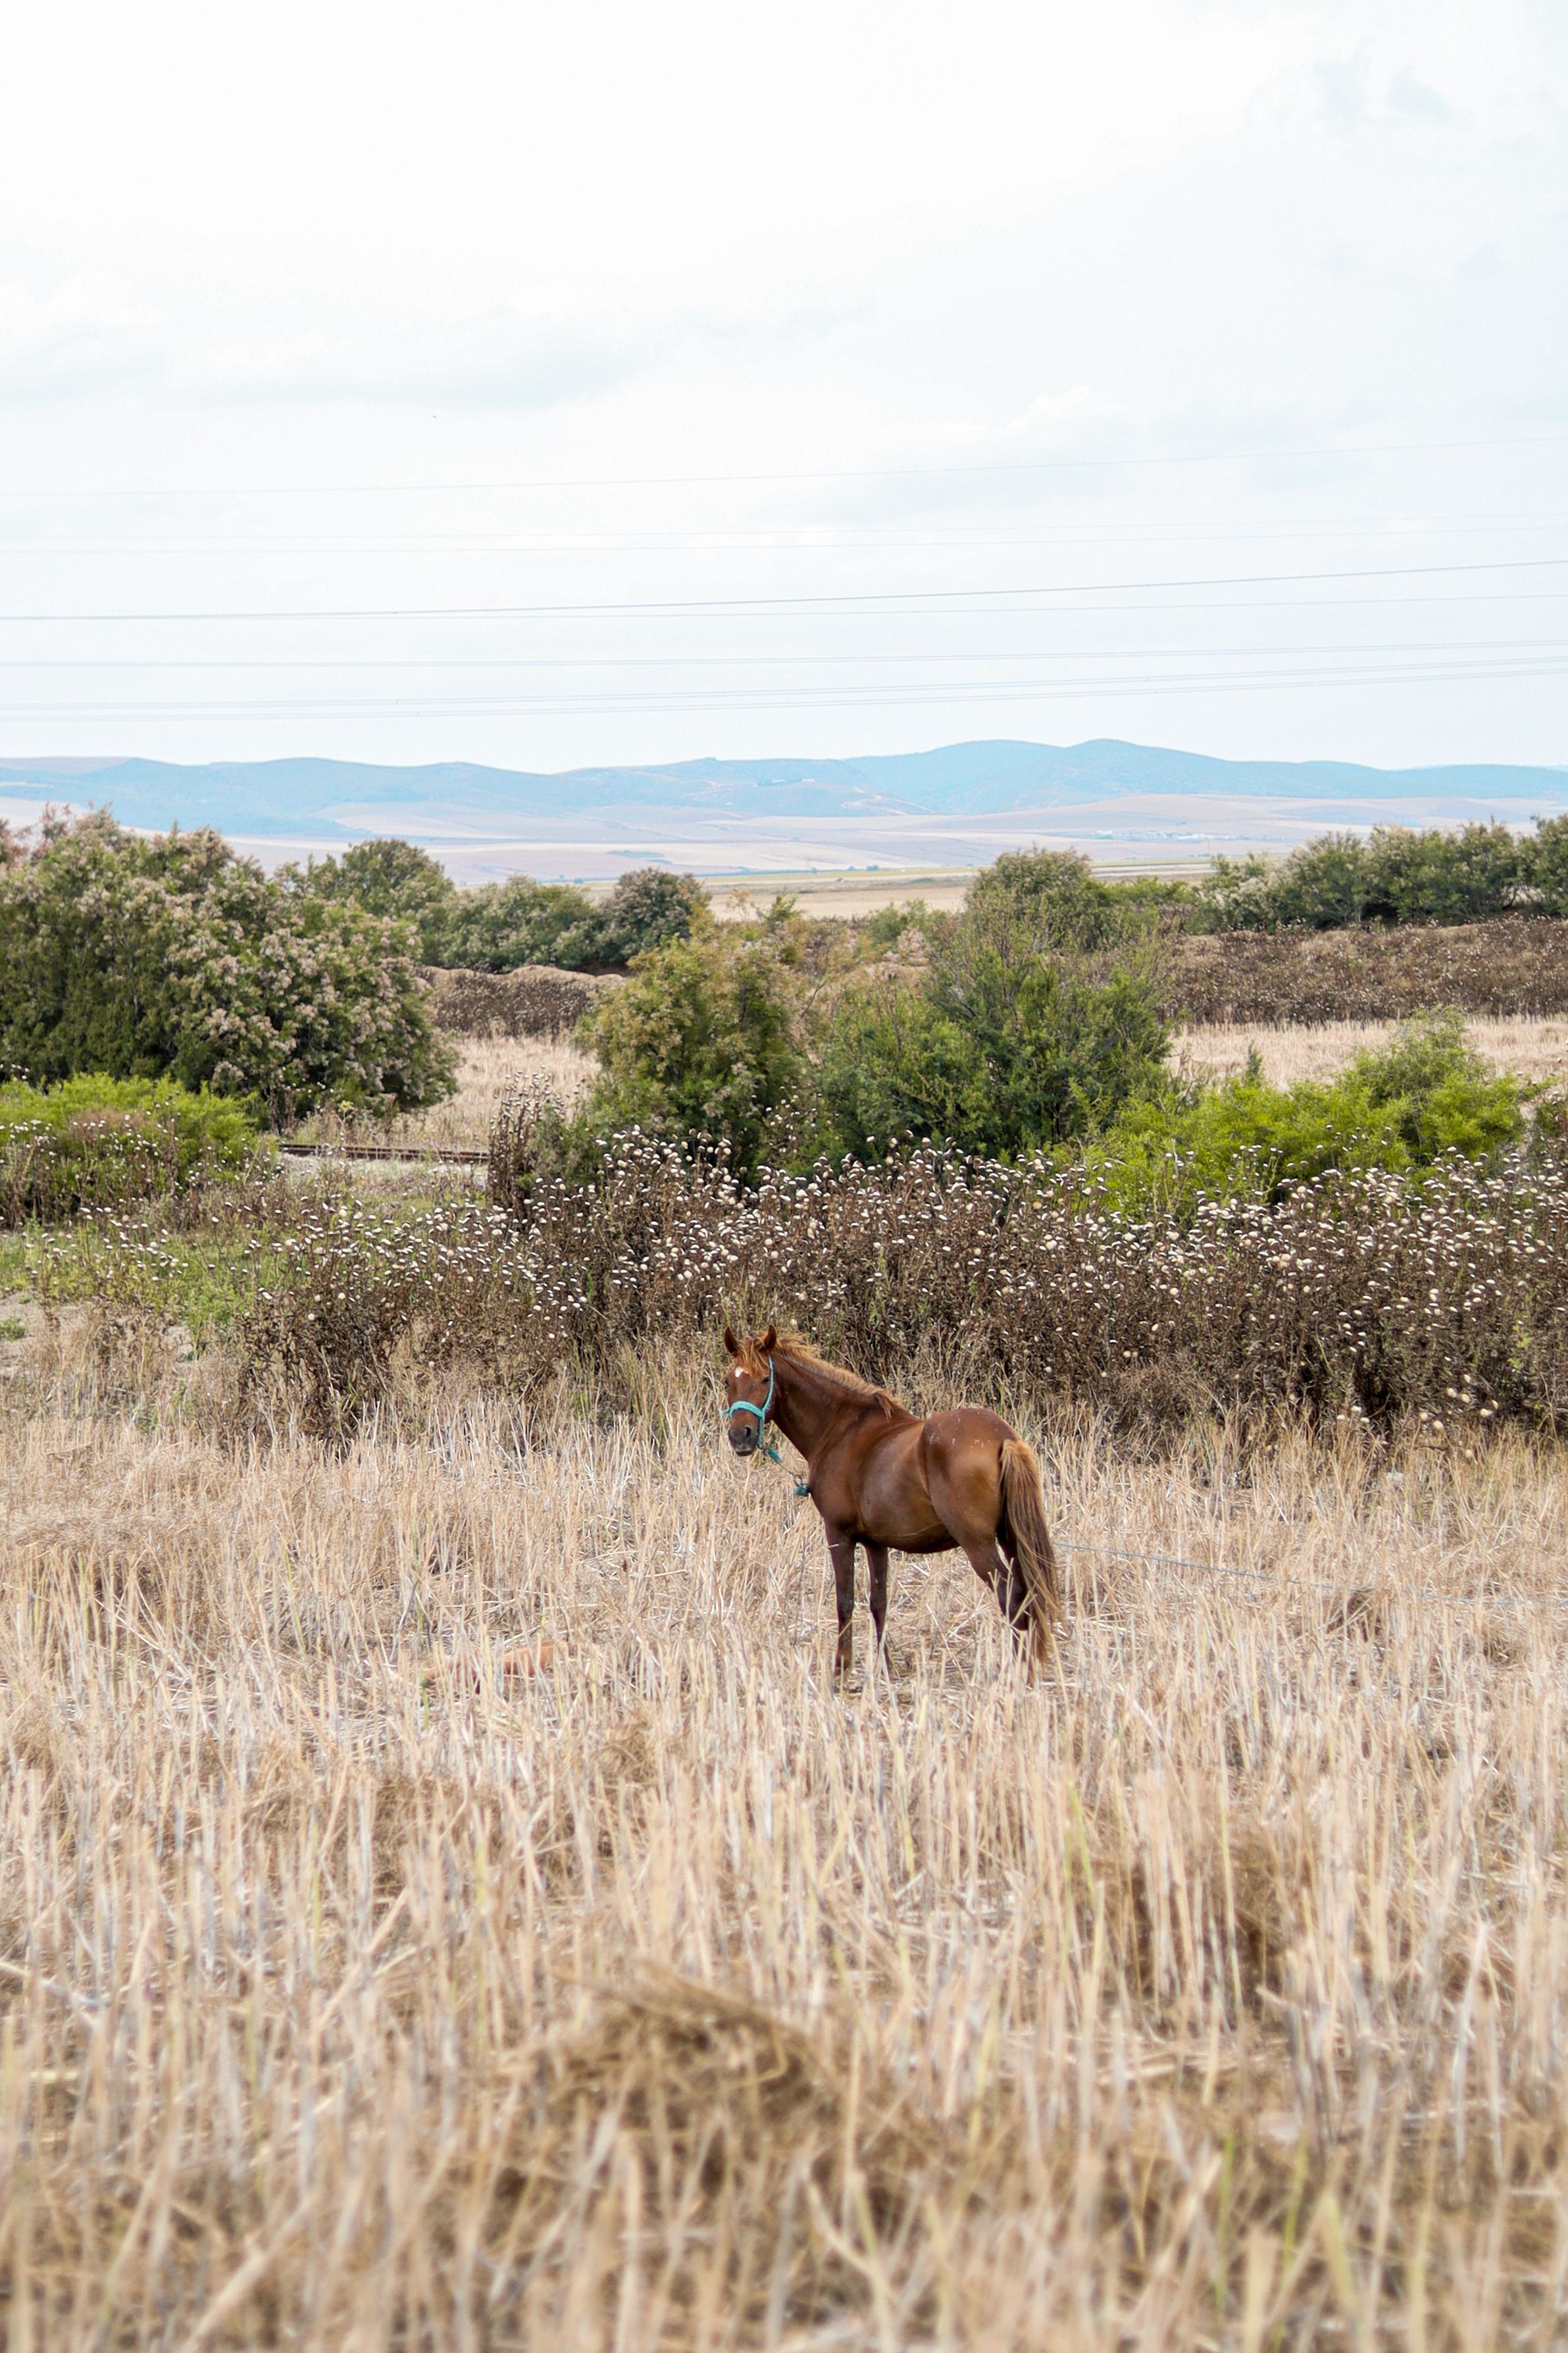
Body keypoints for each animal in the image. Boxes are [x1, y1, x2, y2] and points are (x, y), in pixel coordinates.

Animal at [721, 1324, 1062, 1680]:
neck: (842, 1428)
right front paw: (885, 1666)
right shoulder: (876, 1543)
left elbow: (845, 1601)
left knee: (1012, 1599)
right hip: (1012, 1540)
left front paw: (841, 1670)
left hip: (979, 1545)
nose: (741, 1436)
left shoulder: (839, 1535)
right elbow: (878, 1602)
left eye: (764, 1379)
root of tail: (1002, 1437)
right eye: (728, 1381)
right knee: (1028, 1596)